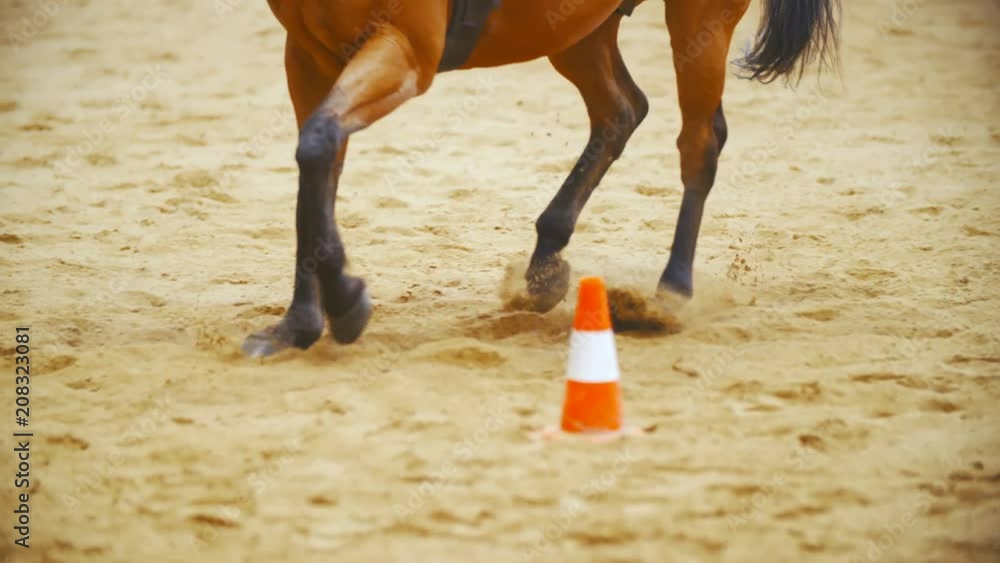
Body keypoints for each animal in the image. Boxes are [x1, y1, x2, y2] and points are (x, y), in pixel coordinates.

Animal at [244, 0, 840, 357]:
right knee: (620, 111)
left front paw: (345, 305)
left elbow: (317, 149)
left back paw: (669, 294)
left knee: (698, 145)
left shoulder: (406, 50)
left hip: (700, 19)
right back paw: (544, 265)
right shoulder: (308, 59)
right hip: (576, 31)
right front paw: (298, 324)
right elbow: (317, 168)